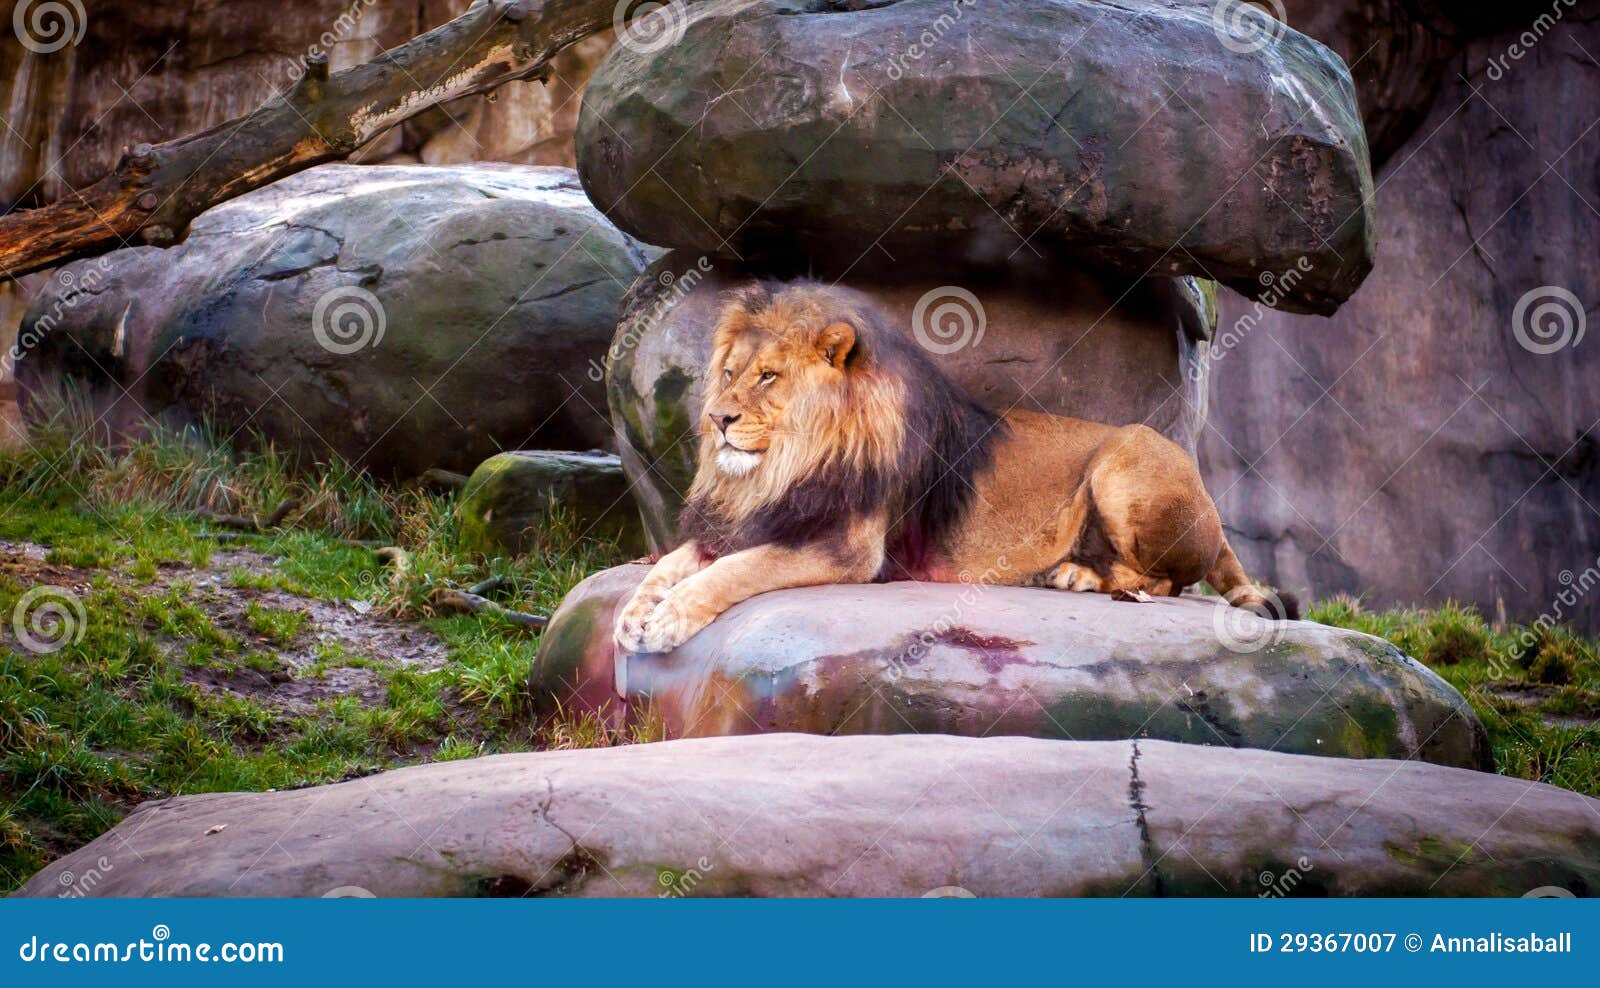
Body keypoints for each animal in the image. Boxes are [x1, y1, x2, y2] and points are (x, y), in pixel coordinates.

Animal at [613, 281, 1296, 654]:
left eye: (768, 377)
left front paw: (669, 618)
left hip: (1126, 458)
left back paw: (1075, 576)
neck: (777, 469)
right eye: (729, 372)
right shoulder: (743, 523)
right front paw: (634, 615)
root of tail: (1210, 508)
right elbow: (672, 564)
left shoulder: (846, 549)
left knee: (1168, 582)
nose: (718, 418)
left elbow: (734, 571)